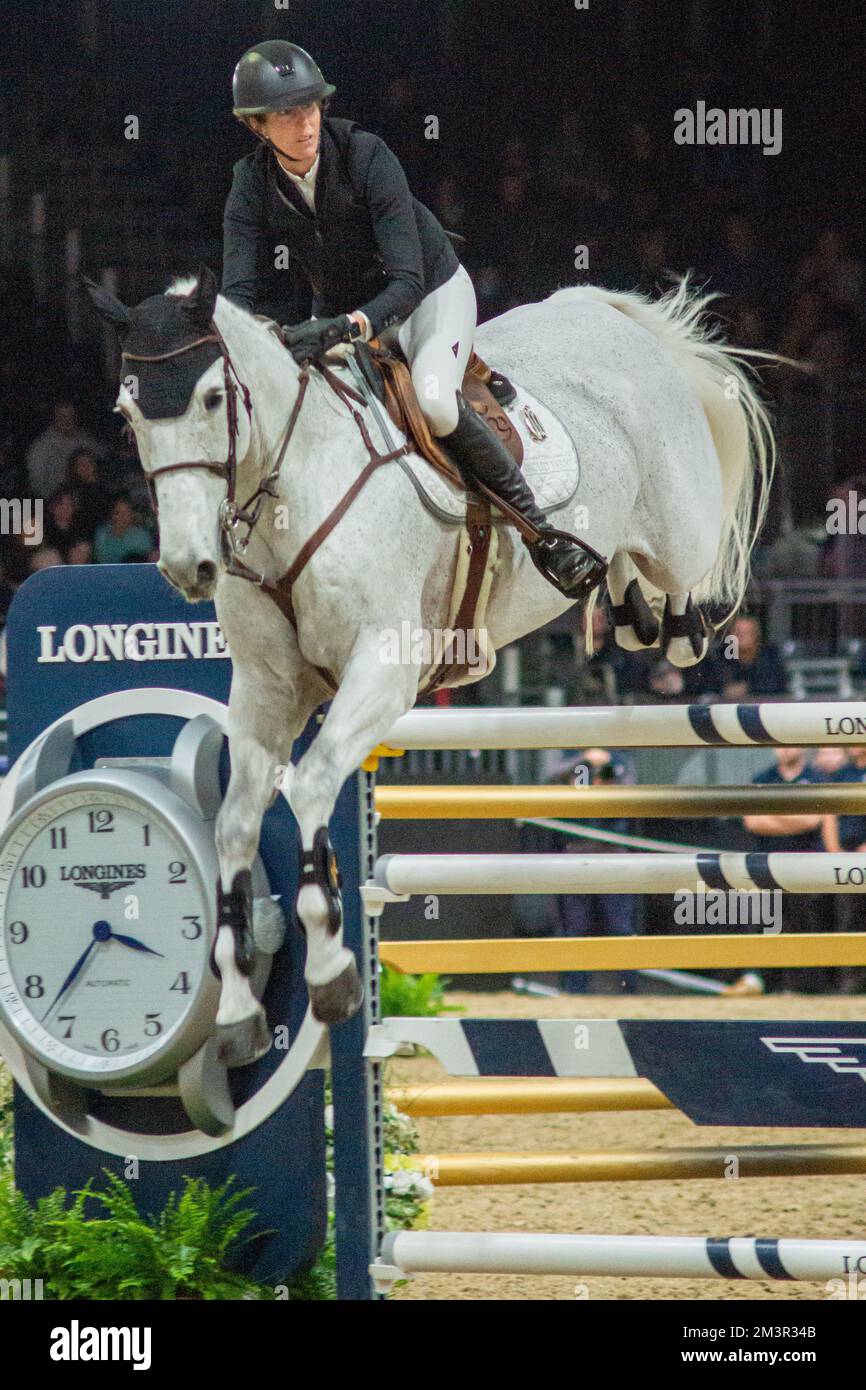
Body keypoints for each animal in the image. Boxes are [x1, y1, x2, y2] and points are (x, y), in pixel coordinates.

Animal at [83, 266, 775, 1065]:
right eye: (128, 414)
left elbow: (310, 786)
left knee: (687, 587)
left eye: (212, 400)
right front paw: (235, 1015)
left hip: (679, 533)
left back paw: (665, 613)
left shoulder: (382, 676)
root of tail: (610, 316)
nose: (187, 567)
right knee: (638, 594)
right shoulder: (267, 693)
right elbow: (232, 824)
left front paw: (333, 975)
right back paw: (631, 602)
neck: (293, 491)